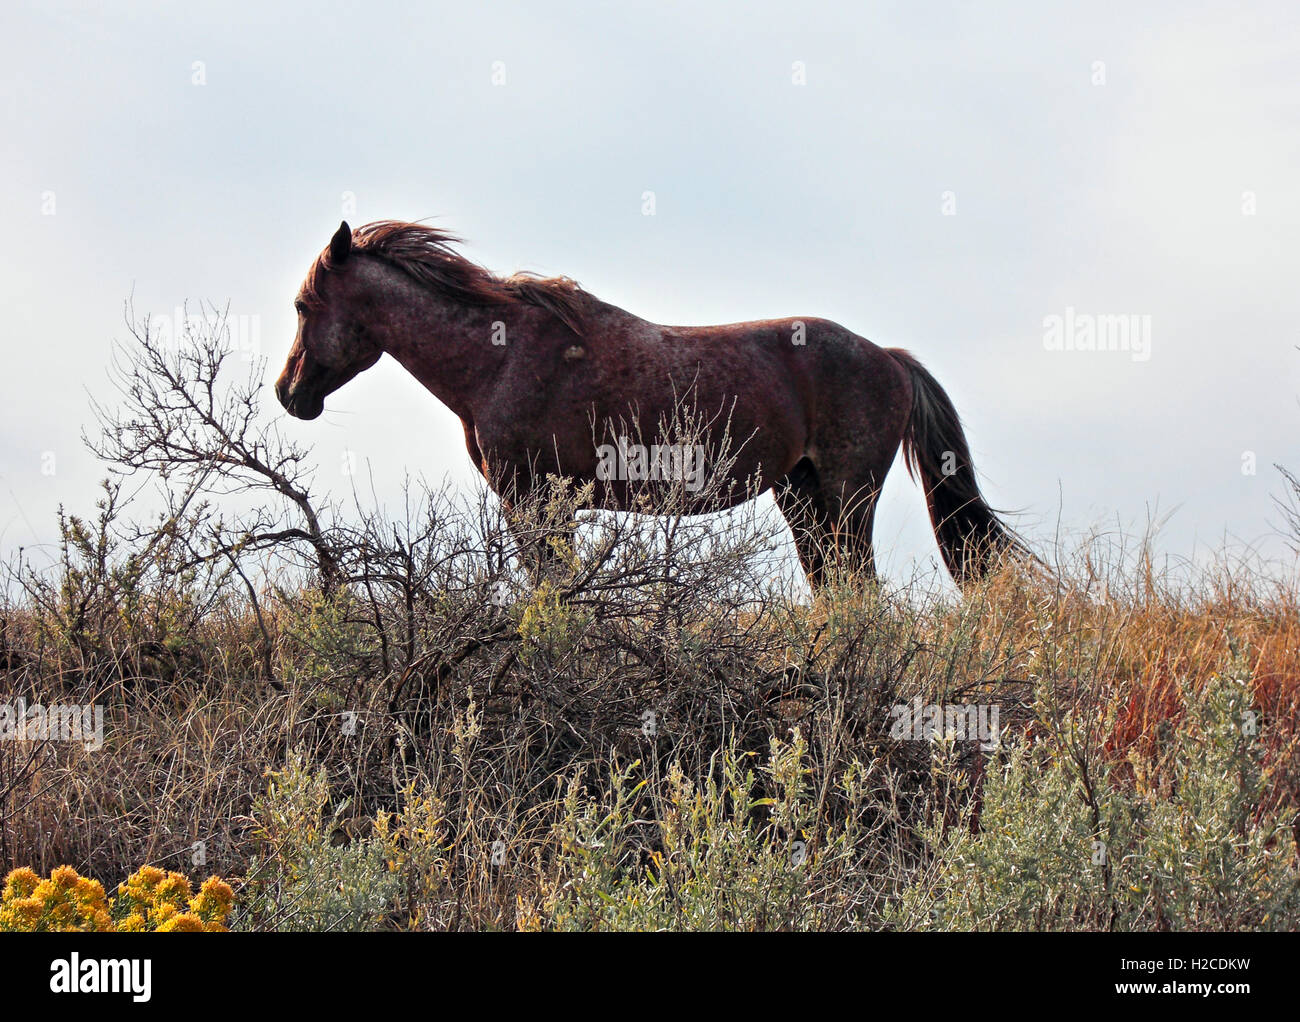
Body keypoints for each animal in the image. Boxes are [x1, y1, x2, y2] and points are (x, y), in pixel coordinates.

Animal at [275, 220, 1027, 587]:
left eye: (305, 306)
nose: (289, 393)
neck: (499, 356)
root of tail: (889, 358)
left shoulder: (534, 501)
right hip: (802, 497)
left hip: (846, 499)